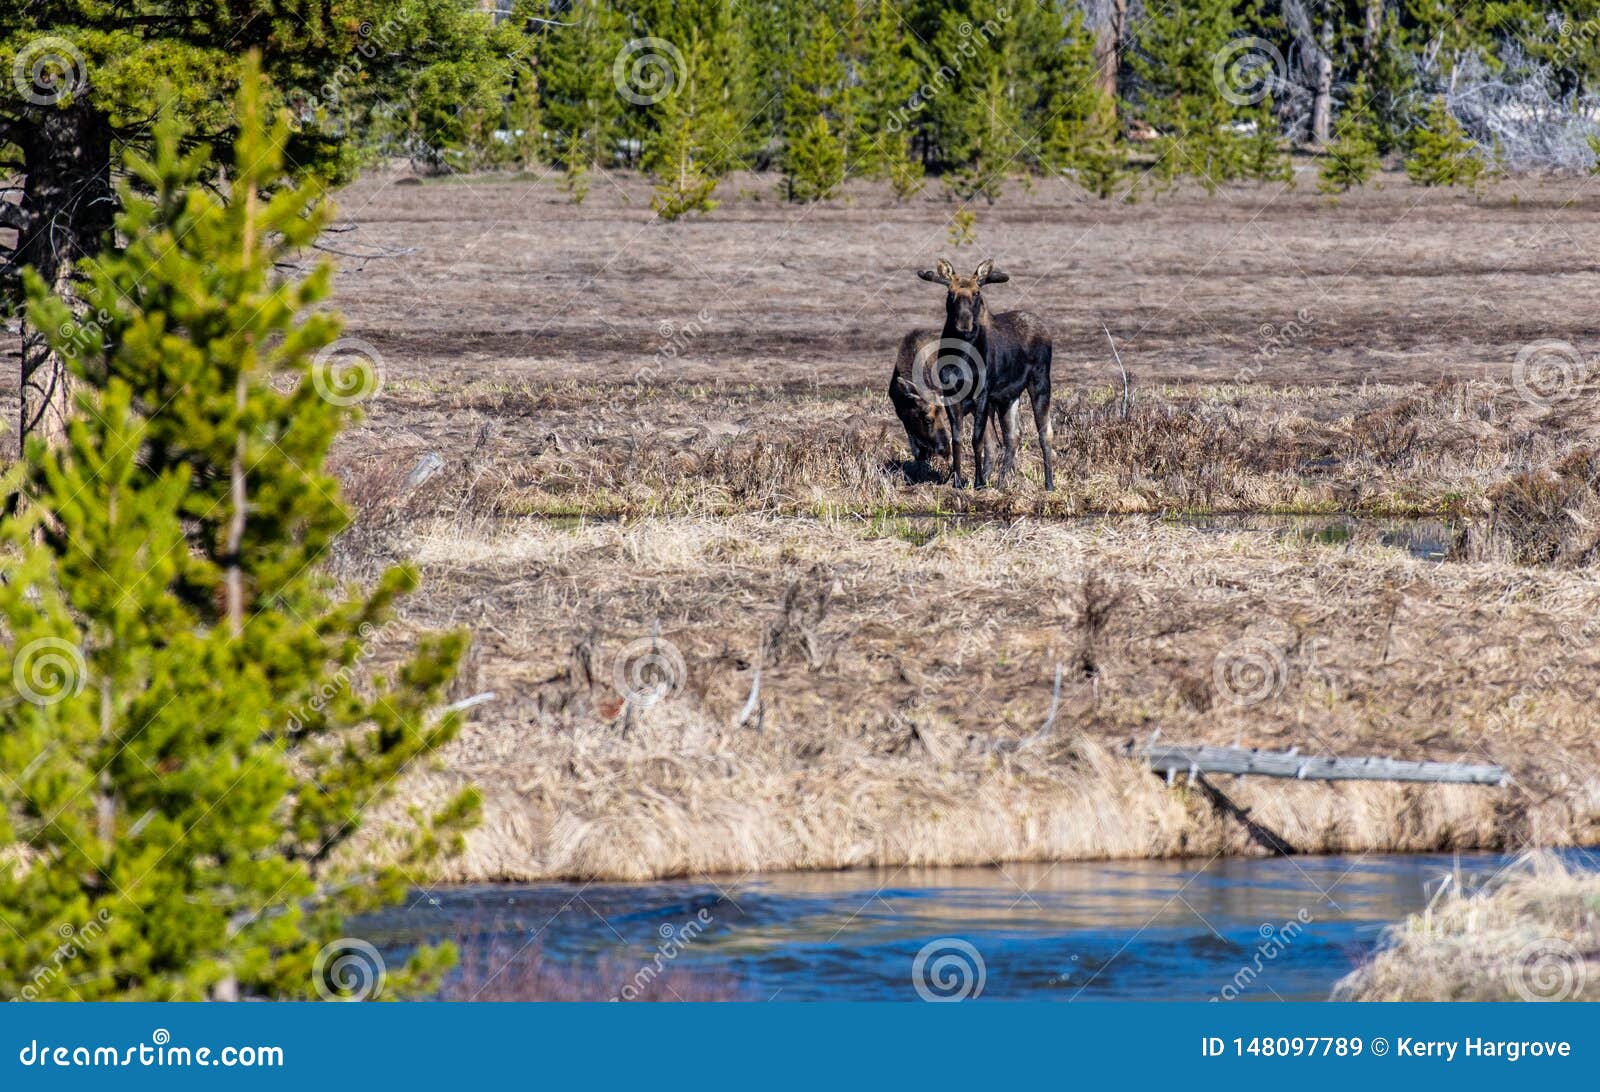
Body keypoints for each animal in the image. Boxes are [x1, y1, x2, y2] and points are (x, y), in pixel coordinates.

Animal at [916, 258, 1055, 490]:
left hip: (1040, 382)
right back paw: (999, 483)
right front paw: (958, 481)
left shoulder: (981, 394)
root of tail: (1045, 329)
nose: (964, 323)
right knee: (1012, 436)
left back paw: (1048, 484)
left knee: (1045, 432)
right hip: (1007, 397)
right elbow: (958, 439)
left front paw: (978, 482)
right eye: (950, 293)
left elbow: (976, 439)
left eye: (977, 292)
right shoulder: (952, 395)